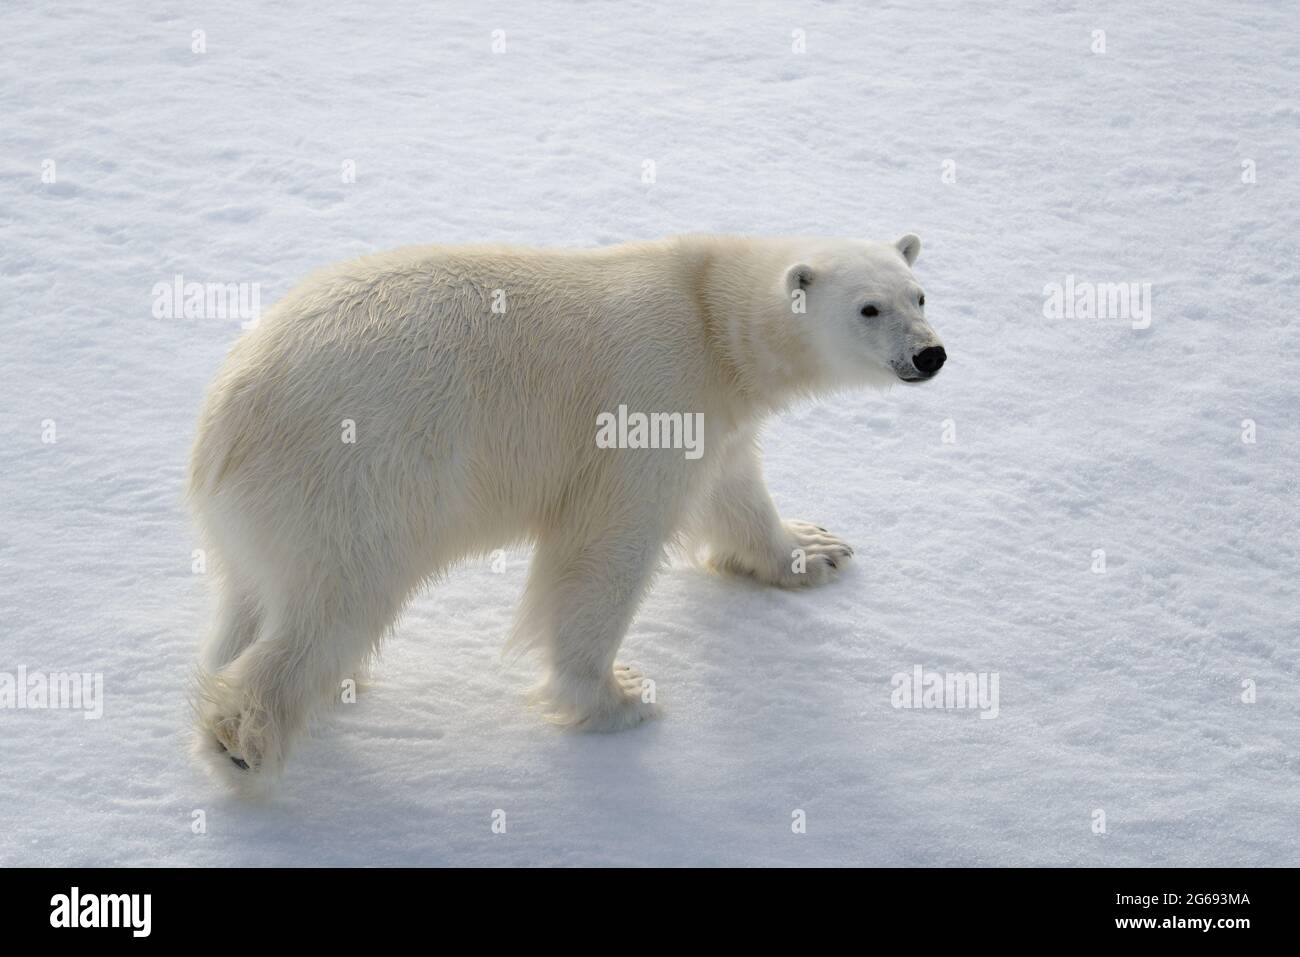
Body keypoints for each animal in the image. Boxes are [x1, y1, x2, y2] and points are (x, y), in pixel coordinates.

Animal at [188, 233, 946, 788]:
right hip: (355, 478)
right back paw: (244, 739)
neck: (708, 315)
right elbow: (605, 549)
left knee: (250, 598)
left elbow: (735, 490)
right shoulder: (650, 399)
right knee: (336, 601)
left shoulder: (714, 418)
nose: (930, 354)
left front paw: (814, 549)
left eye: (919, 293)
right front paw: (618, 695)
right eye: (869, 308)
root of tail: (225, 424)